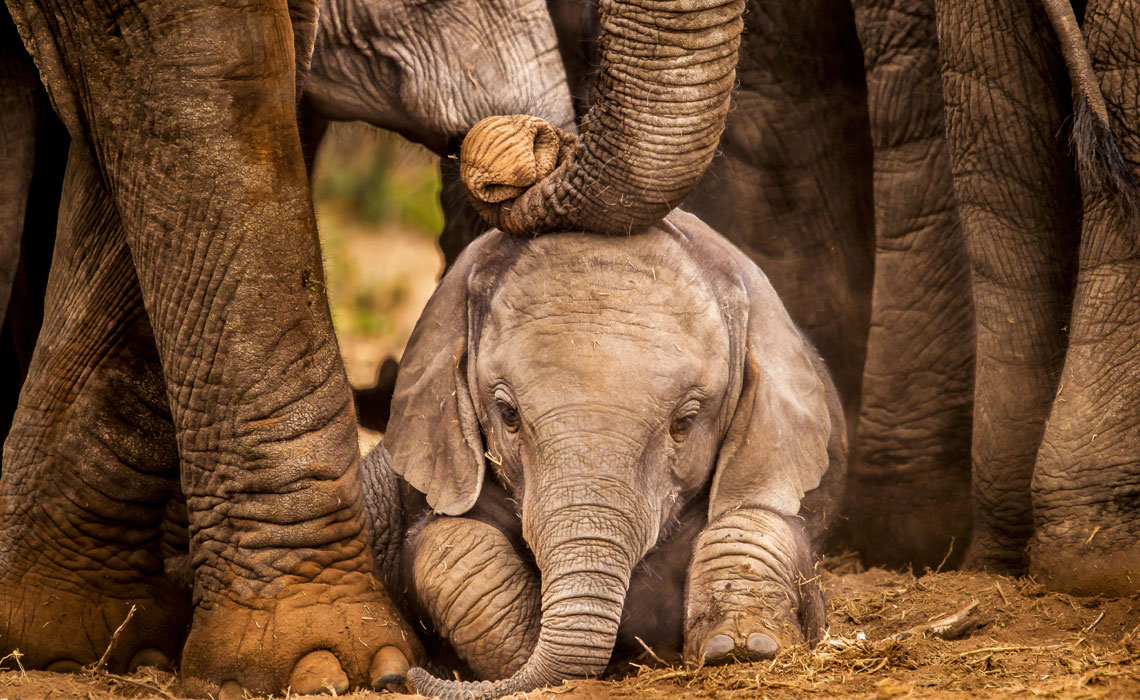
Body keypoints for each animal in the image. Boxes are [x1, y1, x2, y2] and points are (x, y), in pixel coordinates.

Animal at [370, 206, 845, 700]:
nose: (406, 679)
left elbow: (756, 519)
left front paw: (740, 647)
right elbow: (451, 541)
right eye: (508, 414)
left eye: (684, 422)